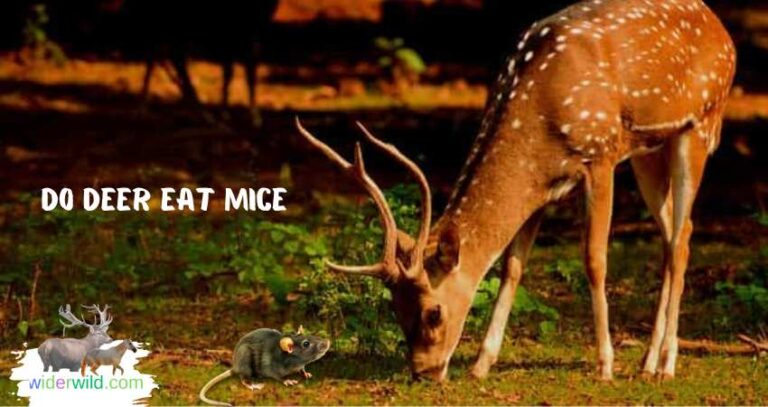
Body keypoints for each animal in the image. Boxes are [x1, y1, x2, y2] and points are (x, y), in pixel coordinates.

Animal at [296, 0, 736, 382]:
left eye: (434, 313)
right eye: (396, 310)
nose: (423, 372)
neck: (538, 122)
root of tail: (722, 30)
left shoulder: (601, 156)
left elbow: (594, 259)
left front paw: (605, 365)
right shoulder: (543, 187)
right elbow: (512, 266)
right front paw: (481, 364)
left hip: (700, 124)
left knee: (680, 242)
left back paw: (665, 365)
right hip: (650, 149)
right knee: (676, 235)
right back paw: (647, 361)